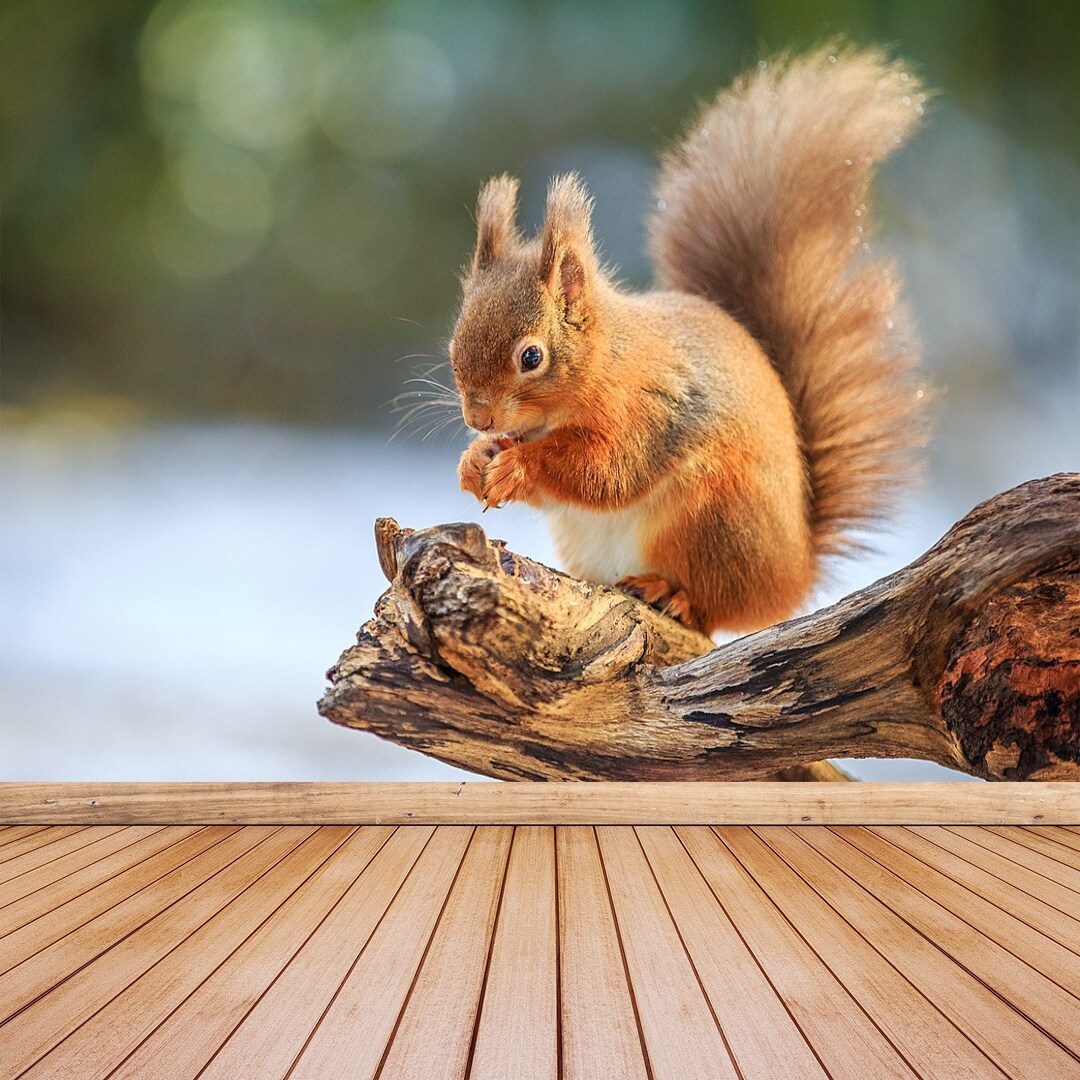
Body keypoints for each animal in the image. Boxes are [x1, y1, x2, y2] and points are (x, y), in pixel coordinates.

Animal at [448, 44, 927, 635]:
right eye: (454, 342)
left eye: (531, 356)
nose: (478, 417)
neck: (608, 360)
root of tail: (793, 576)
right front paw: (475, 459)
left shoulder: (650, 410)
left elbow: (606, 471)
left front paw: (519, 465)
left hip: (713, 521)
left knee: (712, 606)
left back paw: (671, 593)